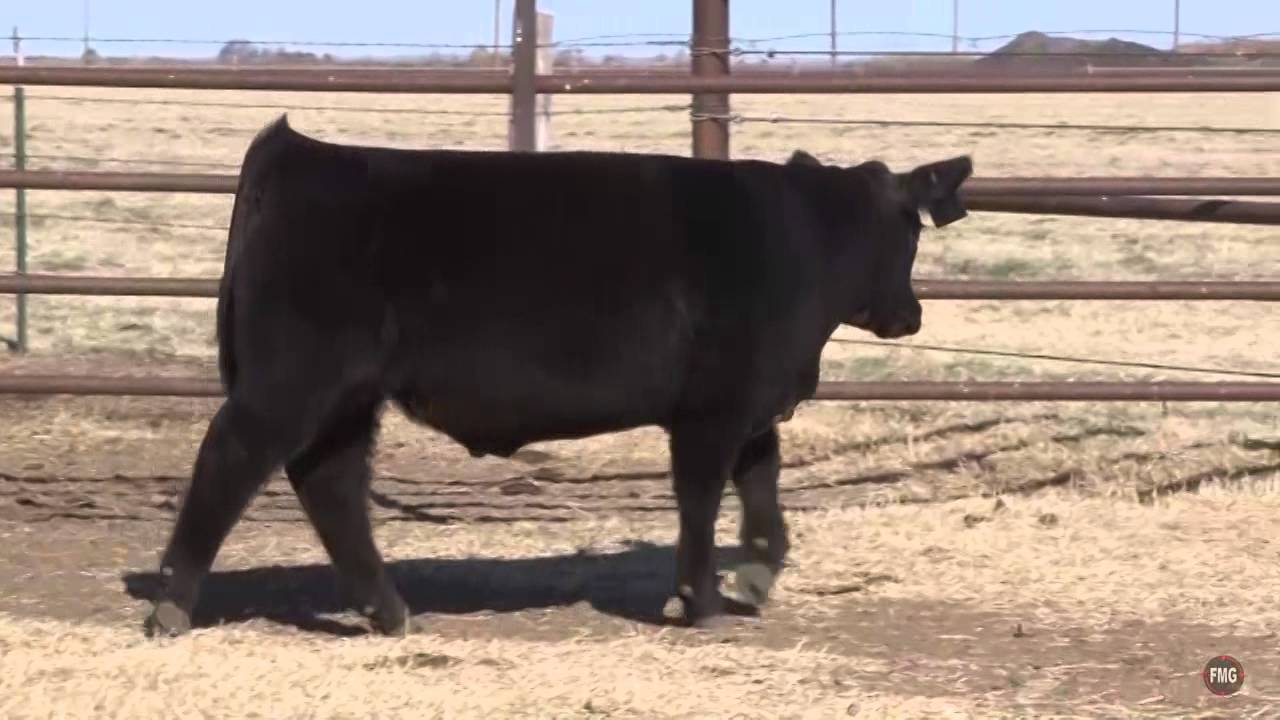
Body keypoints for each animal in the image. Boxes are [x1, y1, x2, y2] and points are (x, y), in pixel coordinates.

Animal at [144, 114, 973, 638]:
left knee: (331, 483)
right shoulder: (711, 409)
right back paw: (173, 604)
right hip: (291, 379)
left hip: (348, 394)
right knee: (231, 459)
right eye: (910, 232)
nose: (912, 315)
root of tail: (301, 152)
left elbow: (762, 484)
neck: (800, 239)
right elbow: (702, 500)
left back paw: (390, 611)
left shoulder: (749, 402)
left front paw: (758, 572)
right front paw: (700, 598)